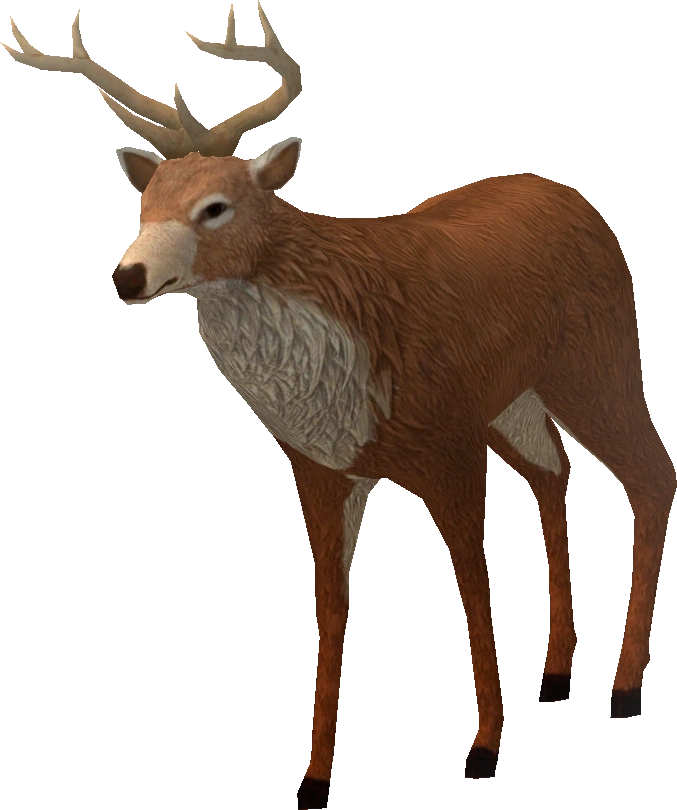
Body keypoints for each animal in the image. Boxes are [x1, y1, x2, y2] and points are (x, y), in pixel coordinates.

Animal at [5, 7, 675, 809]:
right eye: (145, 203)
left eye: (215, 207)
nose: (126, 277)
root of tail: (581, 201)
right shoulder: (320, 469)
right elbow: (329, 607)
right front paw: (316, 775)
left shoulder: (445, 444)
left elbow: (473, 586)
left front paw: (483, 747)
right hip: (512, 404)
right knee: (554, 472)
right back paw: (556, 674)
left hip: (595, 364)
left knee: (653, 472)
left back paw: (626, 684)